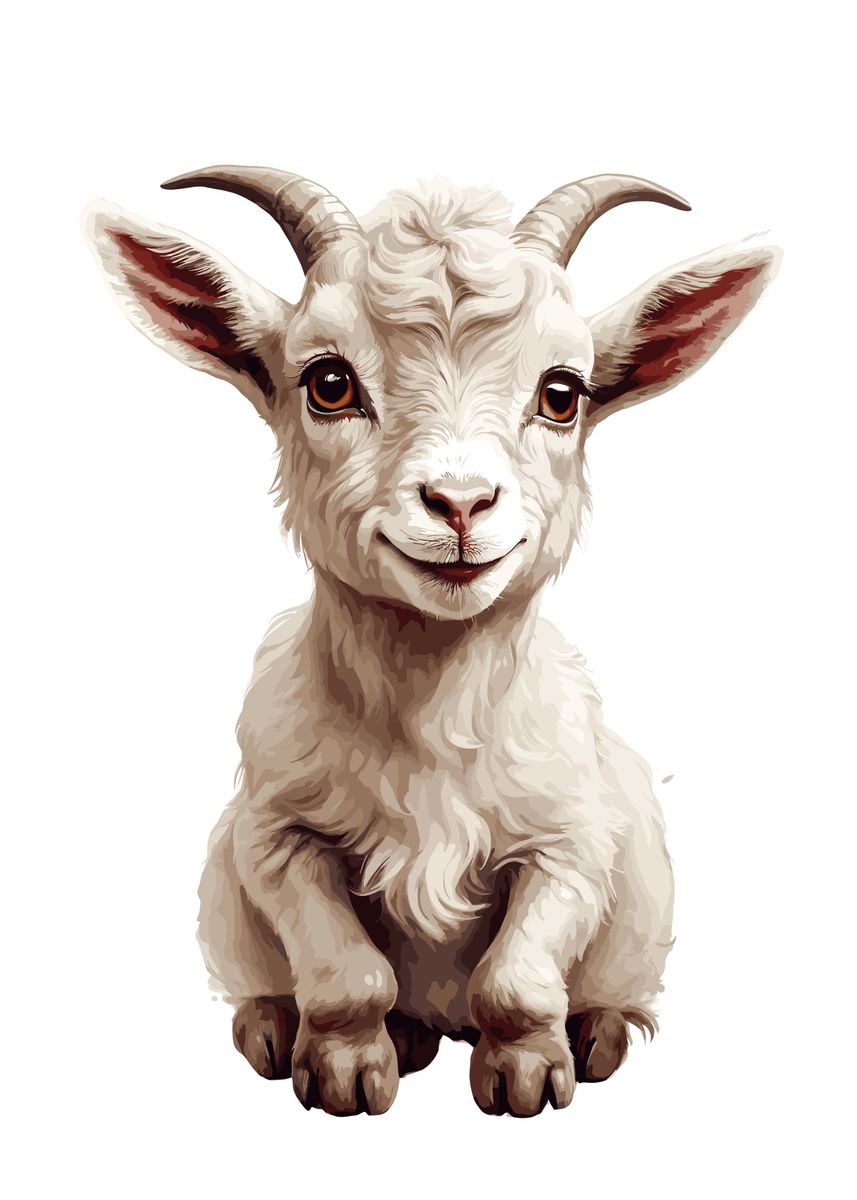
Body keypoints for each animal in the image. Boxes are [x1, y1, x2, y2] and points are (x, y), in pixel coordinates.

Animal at [86, 168, 779, 1117]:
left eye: (562, 393)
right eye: (327, 381)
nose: (459, 502)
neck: (430, 721)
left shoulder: (572, 845)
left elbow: (515, 979)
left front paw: (526, 1077)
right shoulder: (273, 835)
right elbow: (347, 972)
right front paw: (344, 1072)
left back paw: (595, 1033)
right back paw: (284, 1025)